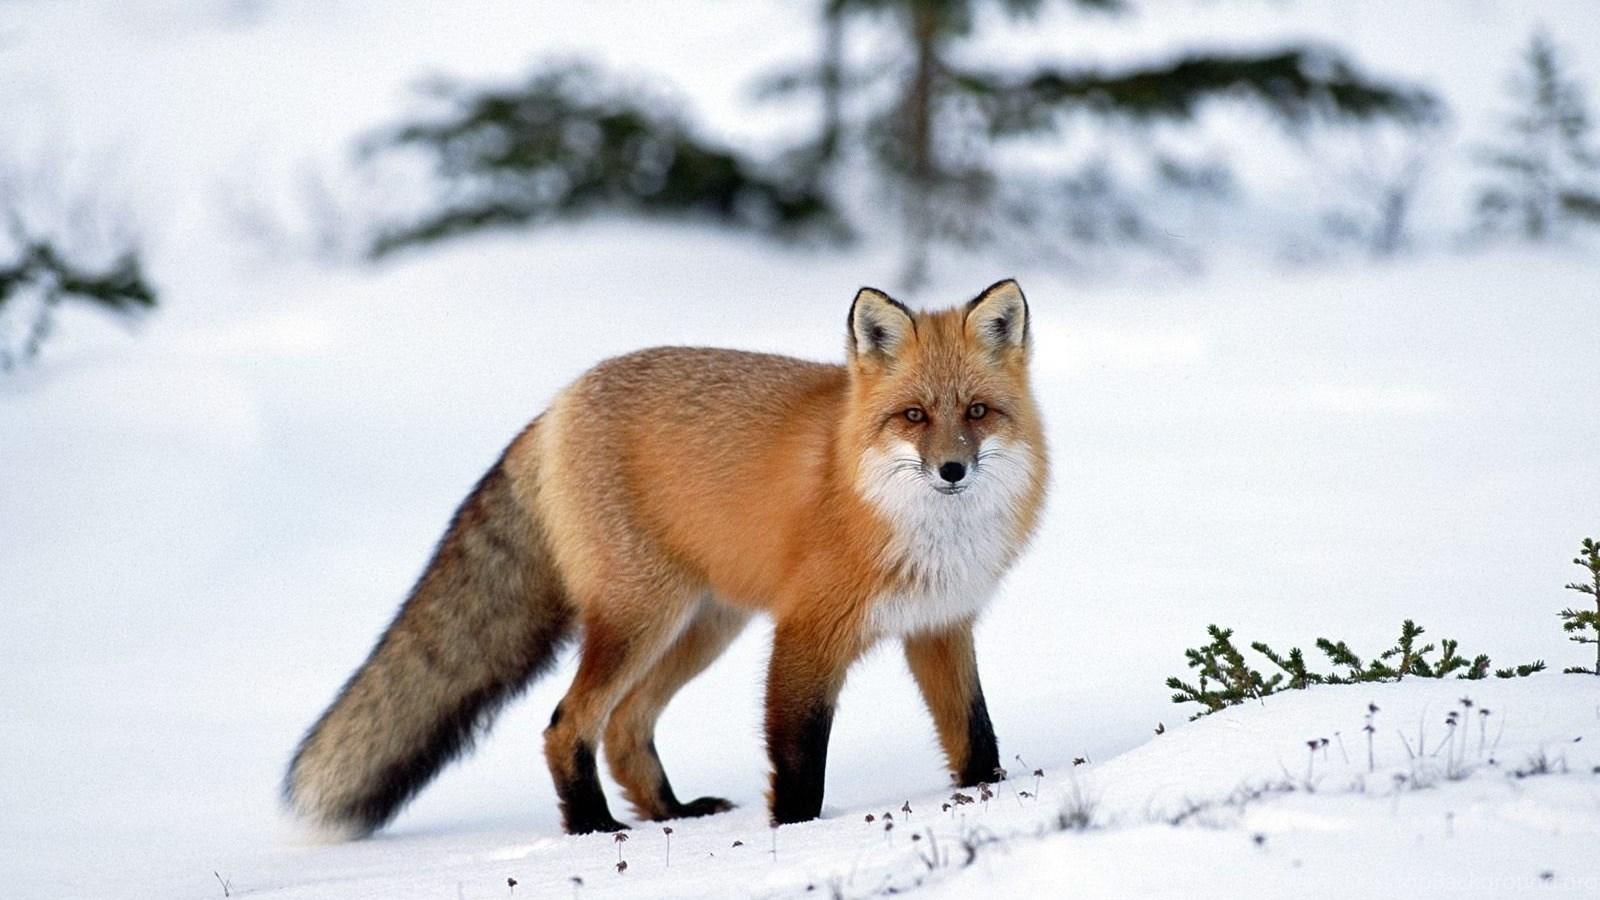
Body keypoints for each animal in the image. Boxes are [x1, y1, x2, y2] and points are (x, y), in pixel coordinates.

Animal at [285, 278, 1049, 837]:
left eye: (977, 412)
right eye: (914, 416)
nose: (952, 470)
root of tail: (557, 404)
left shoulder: (938, 625)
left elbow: (976, 735)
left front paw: (990, 797)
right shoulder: (806, 632)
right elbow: (798, 757)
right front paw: (795, 835)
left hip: (703, 627)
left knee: (625, 727)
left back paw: (670, 814)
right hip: (641, 619)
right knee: (568, 723)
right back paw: (593, 828)